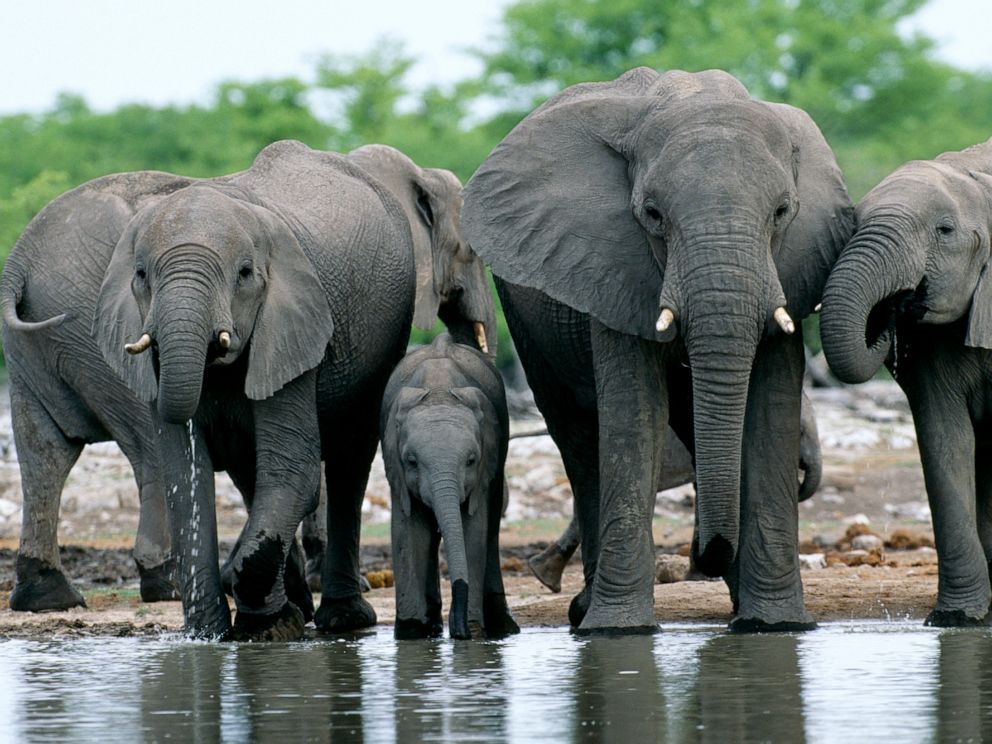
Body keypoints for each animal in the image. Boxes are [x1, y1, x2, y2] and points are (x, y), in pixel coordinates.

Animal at [381, 333, 519, 639]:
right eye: (411, 461)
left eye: (471, 460)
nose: (457, 629)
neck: (439, 390)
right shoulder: (395, 466)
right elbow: (407, 530)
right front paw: (411, 632)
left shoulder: (485, 463)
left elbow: (473, 529)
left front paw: (473, 630)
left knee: (491, 528)